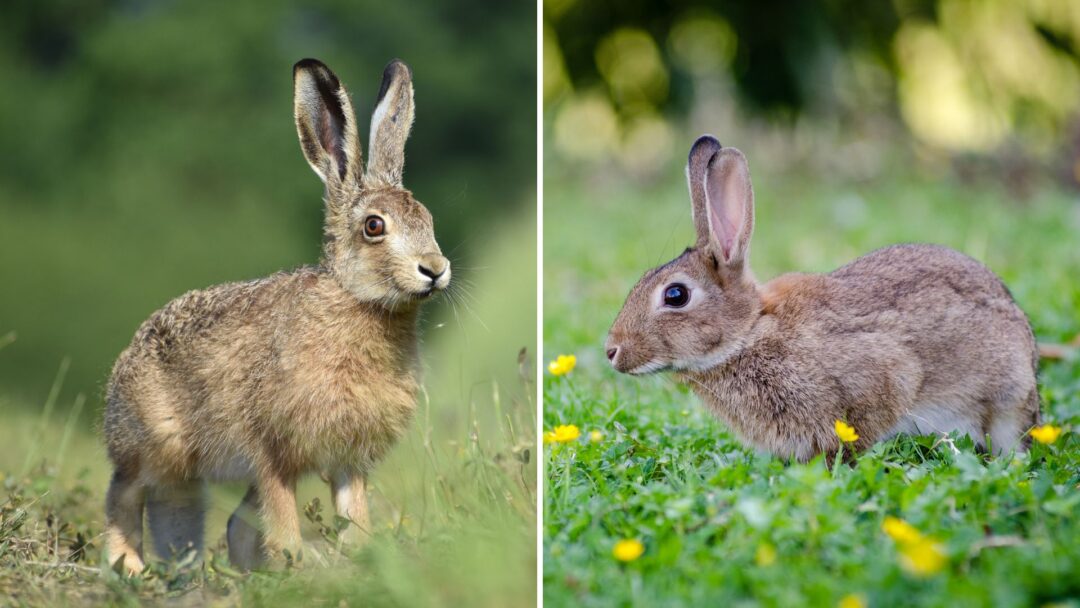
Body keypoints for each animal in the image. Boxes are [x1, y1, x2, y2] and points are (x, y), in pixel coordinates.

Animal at [102, 58, 450, 573]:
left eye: (427, 219)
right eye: (374, 226)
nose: (435, 269)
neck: (354, 300)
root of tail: (123, 367)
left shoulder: (347, 460)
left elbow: (354, 516)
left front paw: (361, 561)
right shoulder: (273, 454)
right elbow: (284, 525)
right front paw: (299, 567)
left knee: (192, 511)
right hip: (156, 445)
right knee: (124, 493)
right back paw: (129, 568)